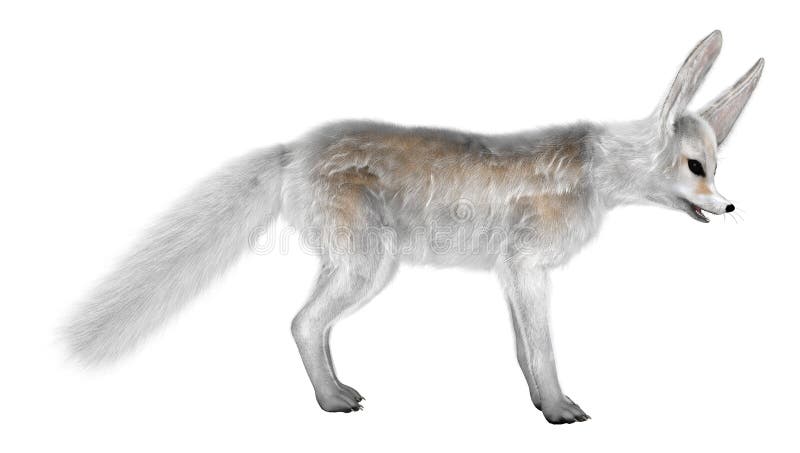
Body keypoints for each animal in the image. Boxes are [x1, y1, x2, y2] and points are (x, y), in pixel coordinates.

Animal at [64, 30, 763, 424]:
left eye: (717, 168)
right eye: (696, 167)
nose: (731, 208)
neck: (595, 173)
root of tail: (293, 149)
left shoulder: (510, 272)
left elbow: (521, 351)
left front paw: (539, 405)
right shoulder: (530, 268)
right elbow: (543, 349)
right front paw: (560, 411)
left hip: (354, 264)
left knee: (309, 325)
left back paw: (337, 390)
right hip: (370, 267)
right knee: (302, 322)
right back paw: (331, 403)